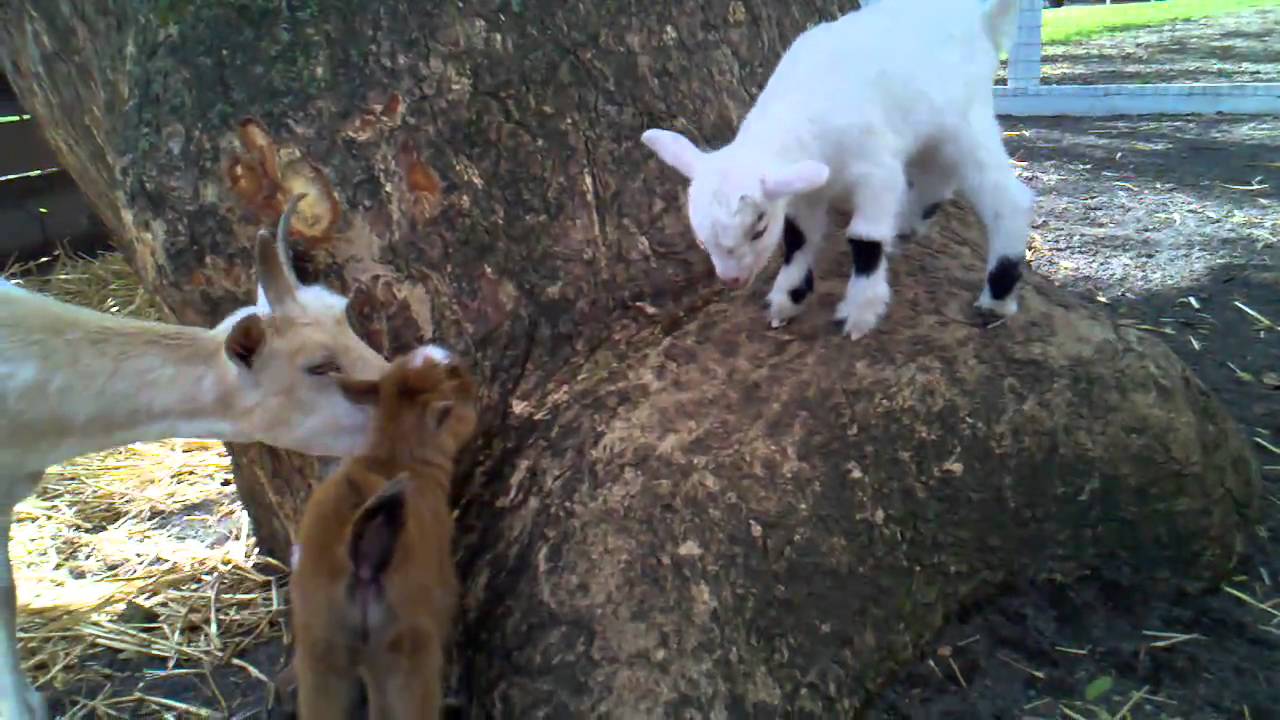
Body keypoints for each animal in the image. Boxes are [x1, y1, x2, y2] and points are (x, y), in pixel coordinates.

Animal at [641, 0, 1032, 340]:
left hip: (967, 119)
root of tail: (983, 21)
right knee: (937, 175)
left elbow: (865, 238)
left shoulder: (876, 170)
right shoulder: (805, 189)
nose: (731, 280)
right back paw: (909, 222)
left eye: (758, 229)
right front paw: (787, 300)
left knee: (1009, 199)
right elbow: (798, 238)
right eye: (700, 238)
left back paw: (997, 296)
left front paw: (860, 313)